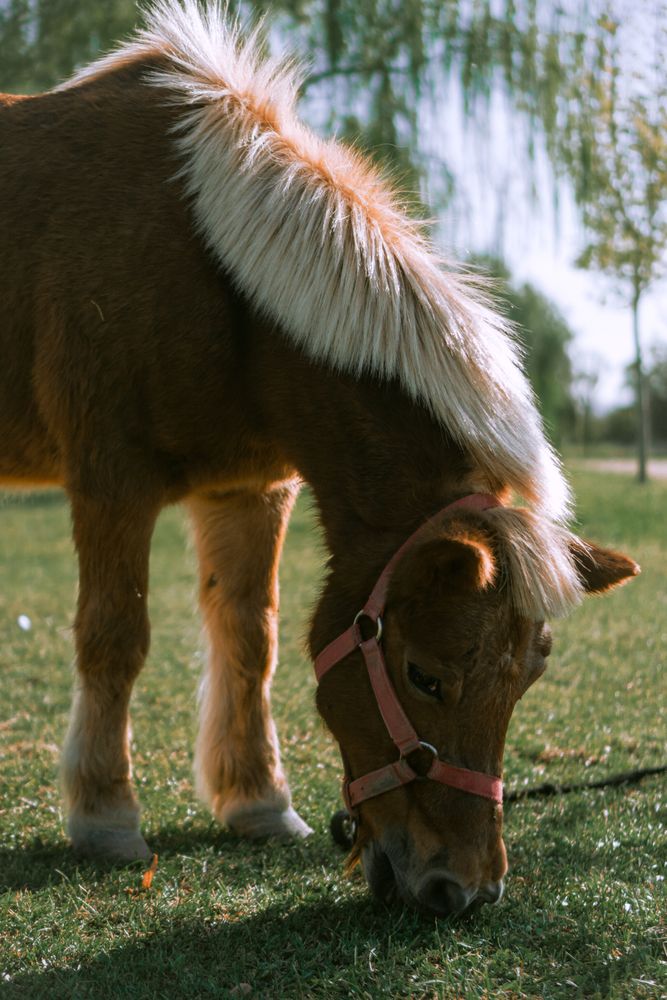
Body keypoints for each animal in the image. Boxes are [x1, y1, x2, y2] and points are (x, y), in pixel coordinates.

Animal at [0, 0, 638, 917]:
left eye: (525, 681)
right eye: (423, 676)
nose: (462, 889)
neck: (201, 259)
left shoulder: (249, 489)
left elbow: (248, 638)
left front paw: (258, 803)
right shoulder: (110, 480)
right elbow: (115, 637)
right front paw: (106, 817)